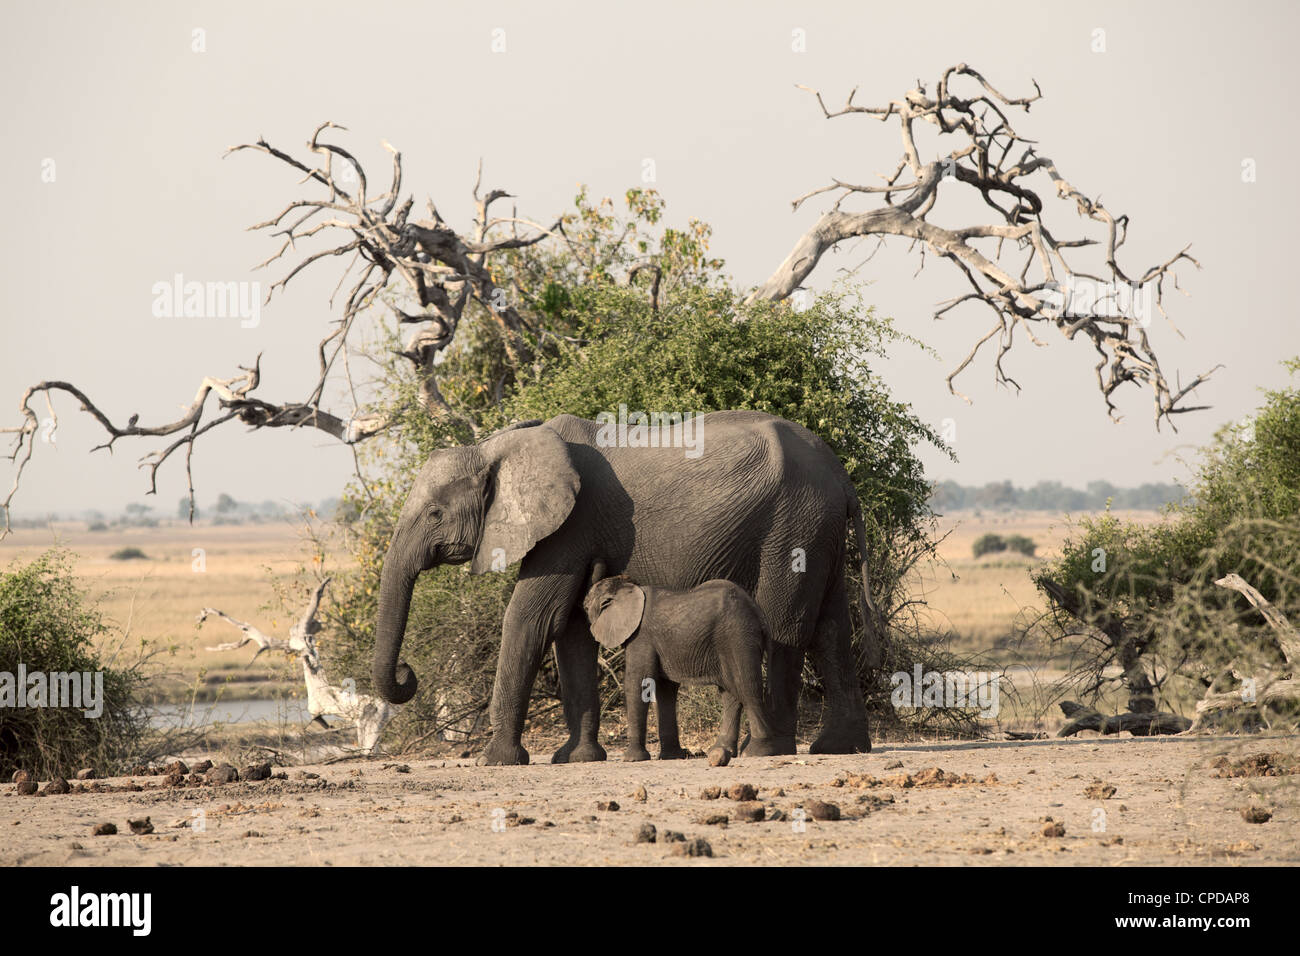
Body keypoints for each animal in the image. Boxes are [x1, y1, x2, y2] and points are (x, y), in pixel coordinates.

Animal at [583, 570, 777, 766]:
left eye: (585, 608)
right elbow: (665, 689)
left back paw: (757, 751)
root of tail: (759, 614)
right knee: (730, 693)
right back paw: (722, 750)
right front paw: (671, 756)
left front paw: (632, 759)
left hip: (737, 636)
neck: (628, 587)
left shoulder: (641, 637)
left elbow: (638, 683)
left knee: (747, 687)